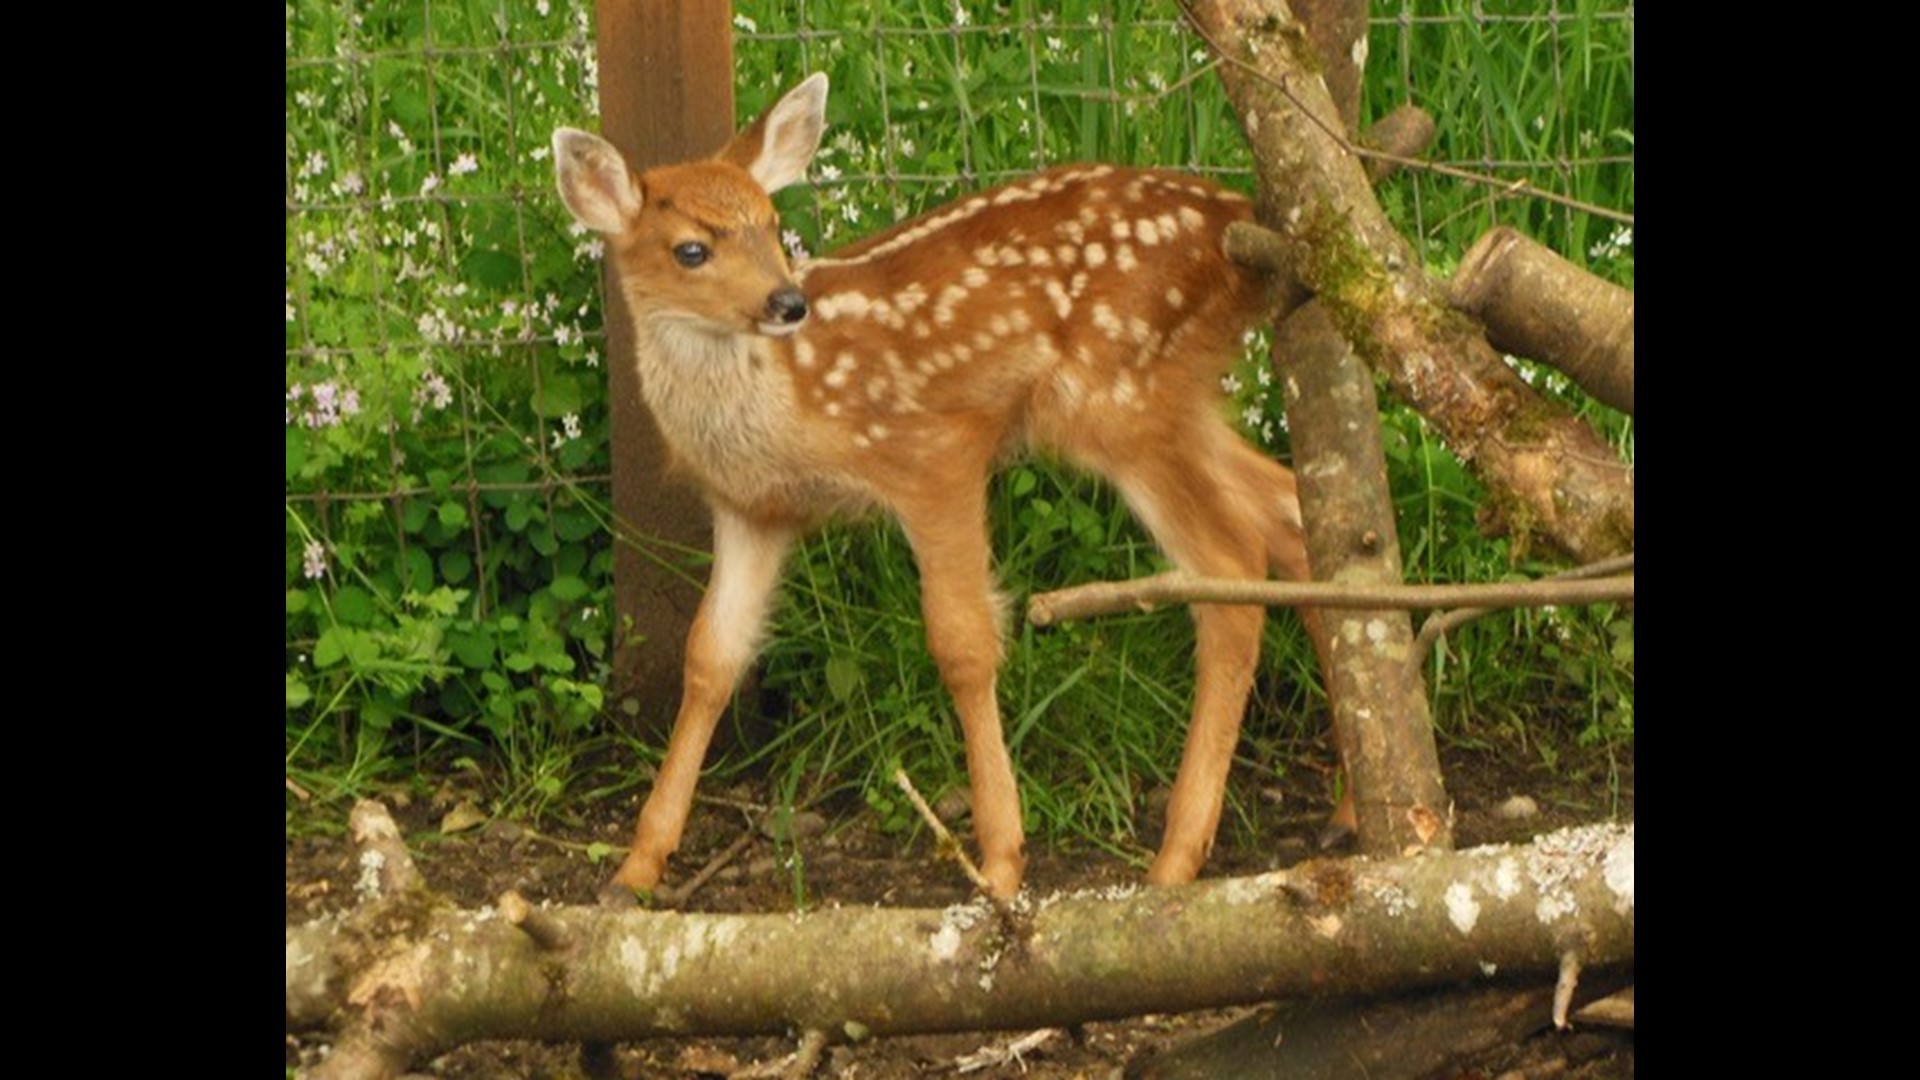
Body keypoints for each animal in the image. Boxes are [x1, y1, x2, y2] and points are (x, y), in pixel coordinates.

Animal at [554, 72, 1335, 905]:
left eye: (771, 225)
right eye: (691, 250)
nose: (786, 303)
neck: (788, 396)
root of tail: (1238, 221)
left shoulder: (935, 454)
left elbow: (962, 643)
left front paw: (1000, 861)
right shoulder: (752, 509)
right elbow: (710, 657)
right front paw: (638, 865)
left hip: (1118, 397)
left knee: (1229, 565)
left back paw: (1175, 858)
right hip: (1177, 398)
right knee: (1289, 513)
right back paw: (1342, 813)